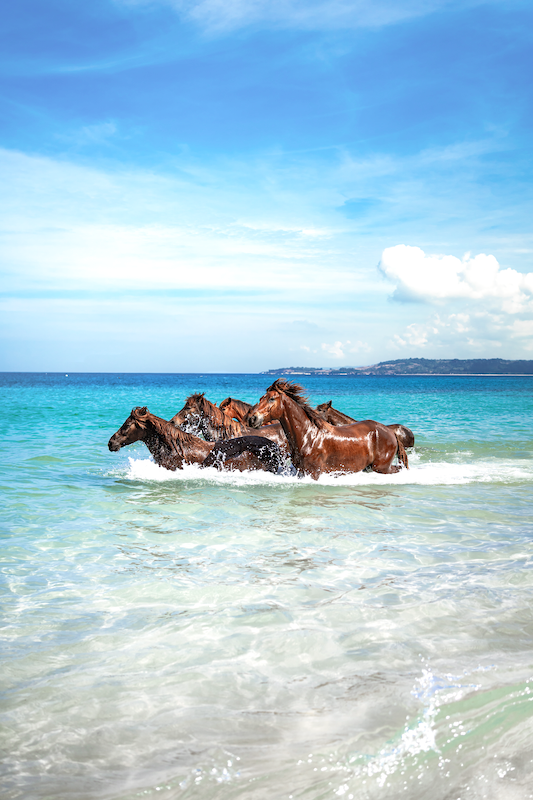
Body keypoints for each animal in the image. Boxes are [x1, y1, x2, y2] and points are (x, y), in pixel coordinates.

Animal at [248, 380, 408, 480]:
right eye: (261, 397)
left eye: (272, 399)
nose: (251, 418)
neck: (308, 436)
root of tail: (390, 432)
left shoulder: (314, 473)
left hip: (382, 467)